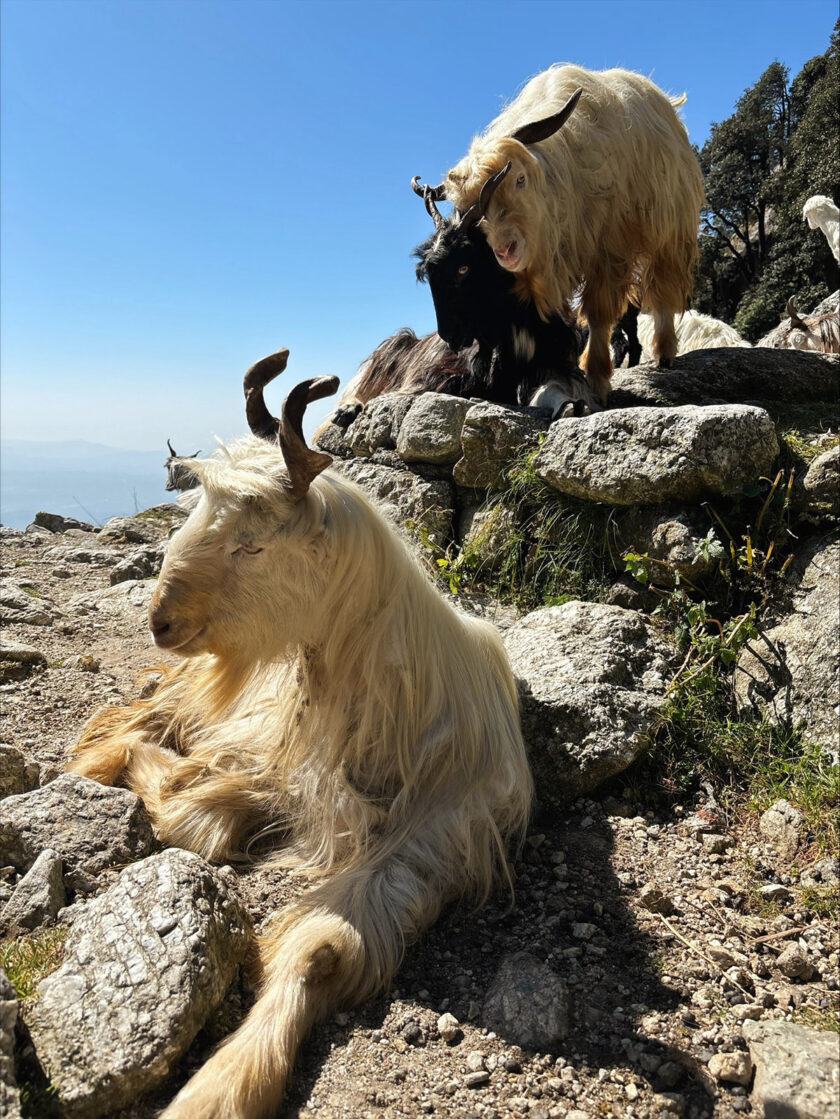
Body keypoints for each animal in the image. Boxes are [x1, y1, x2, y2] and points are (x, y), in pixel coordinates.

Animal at [68, 349, 533, 1119]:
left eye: (252, 545)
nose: (160, 621)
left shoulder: (427, 845)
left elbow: (319, 944)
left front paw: (223, 1086)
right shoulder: (272, 759)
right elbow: (193, 808)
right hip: (197, 691)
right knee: (144, 712)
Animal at [432, 63, 704, 403]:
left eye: (519, 179)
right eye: (471, 208)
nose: (505, 250)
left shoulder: (608, 249)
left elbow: (599, 314)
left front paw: (597, 380)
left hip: (670, 227)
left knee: (663, 285)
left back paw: (665, 352)